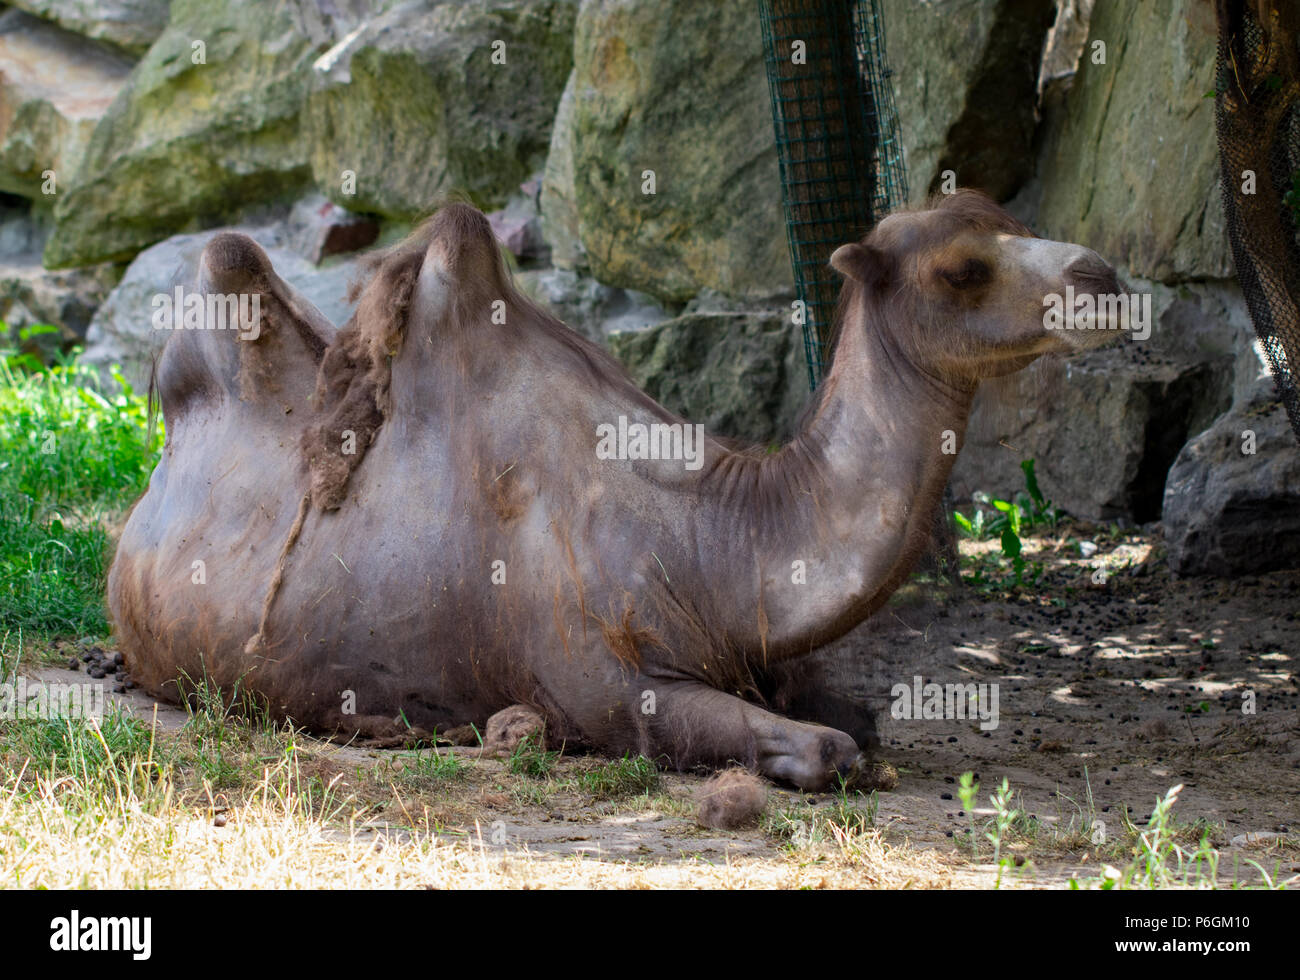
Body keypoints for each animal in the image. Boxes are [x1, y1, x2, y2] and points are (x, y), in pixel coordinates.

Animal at [108, 191, 1125, 790]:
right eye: (961, 269)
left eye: (1014, 219)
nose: (1104, 275)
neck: (714, 537)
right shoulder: (602, 679)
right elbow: (827, 748)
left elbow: (856, 719)